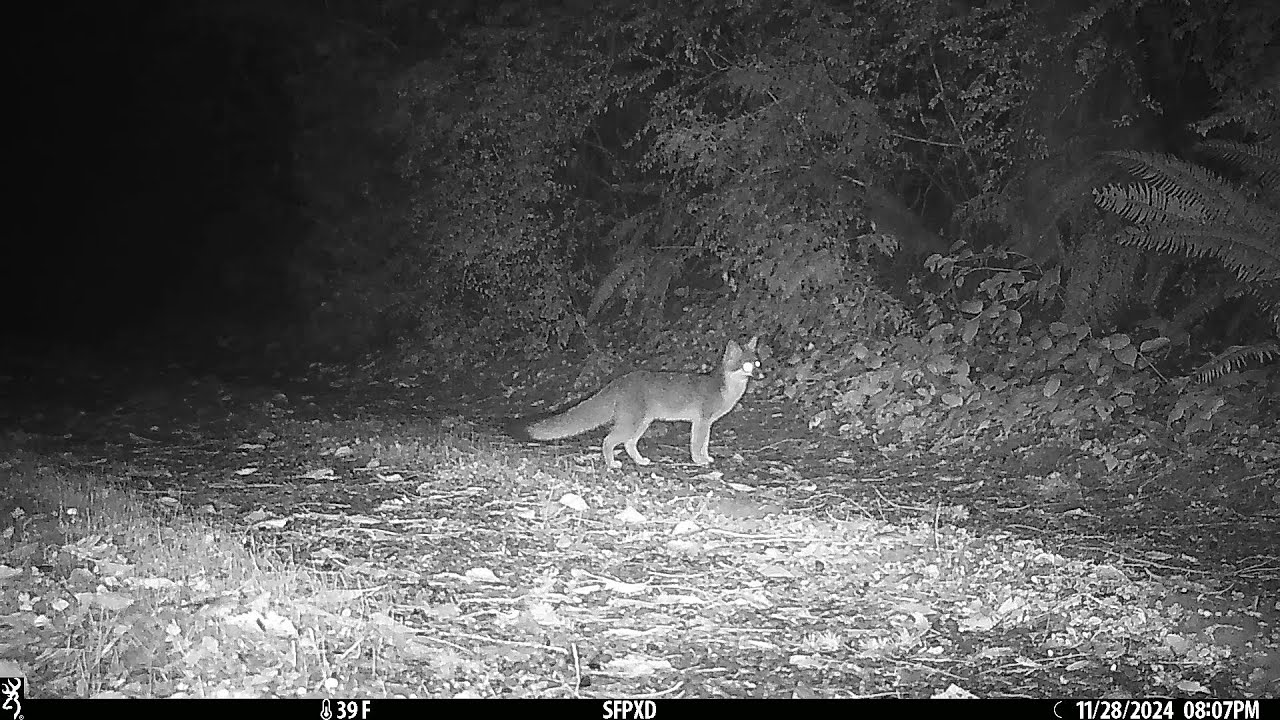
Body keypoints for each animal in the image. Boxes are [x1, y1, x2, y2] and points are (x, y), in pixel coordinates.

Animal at [515, 337, 761, 468]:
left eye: (757, 363)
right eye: (747, 366)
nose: (761, 375)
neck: (725, 389)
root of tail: (618, 380)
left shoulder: (707, 423)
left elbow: (705, 442)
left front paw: (706, 456)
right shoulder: (701, 421)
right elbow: (696, 443)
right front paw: (699, 460)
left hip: (642, 423)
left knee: (628, 443)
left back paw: (640, 460)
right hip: (633, 423)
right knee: (609, 440)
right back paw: (612, 464)